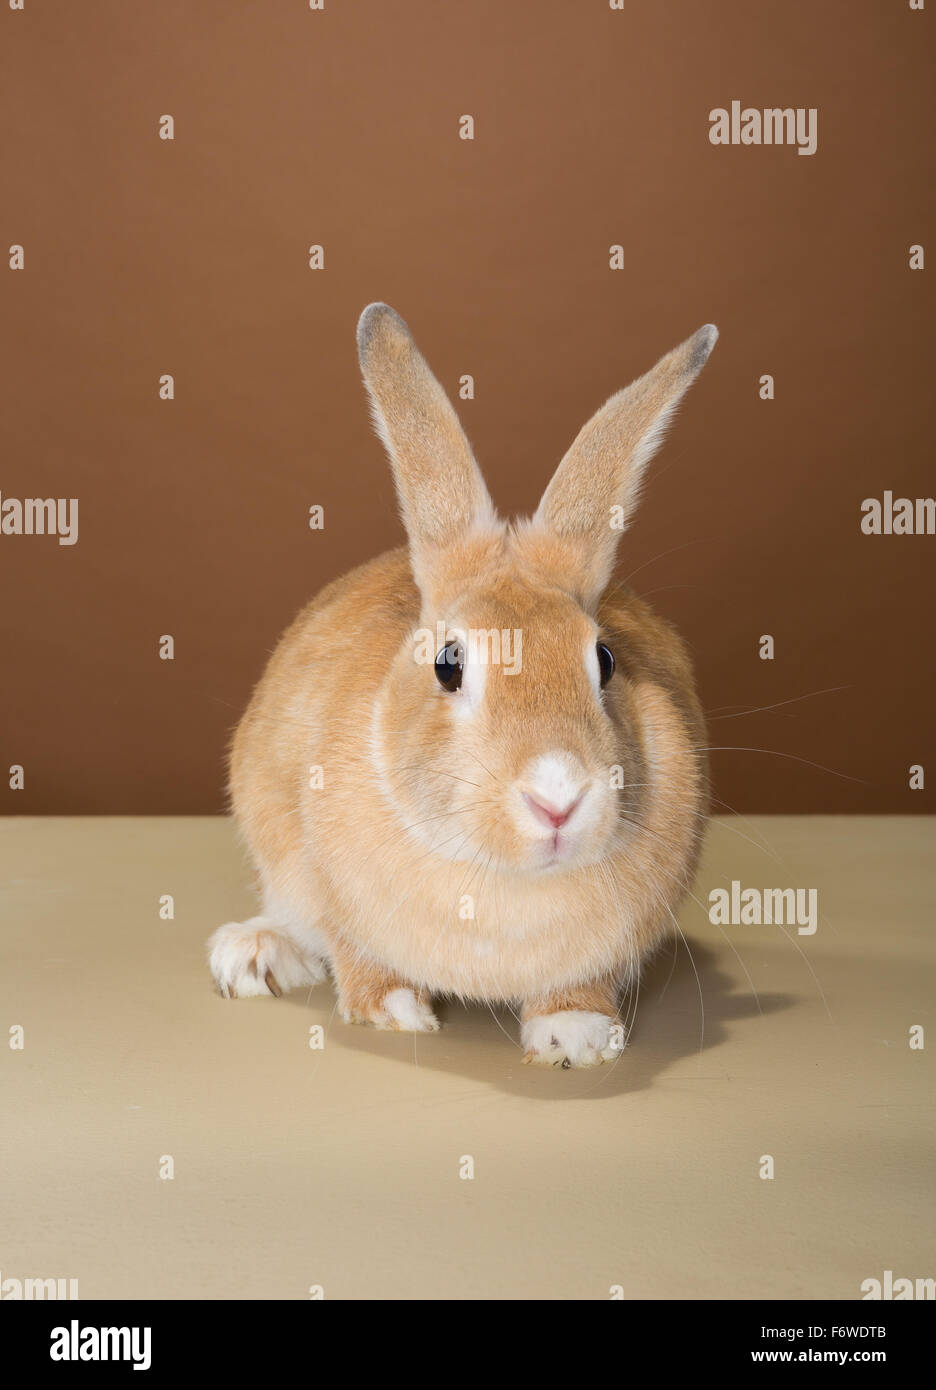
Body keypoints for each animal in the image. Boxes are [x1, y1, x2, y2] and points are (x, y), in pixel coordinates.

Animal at [208, 303, 717, 1067]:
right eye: (448, 664)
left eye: (604, 660)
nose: (558, 799)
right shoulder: (327, 885)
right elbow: (355, 950)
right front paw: (393, 1011)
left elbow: (579, 986)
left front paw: (578, 1038)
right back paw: (255, 955)